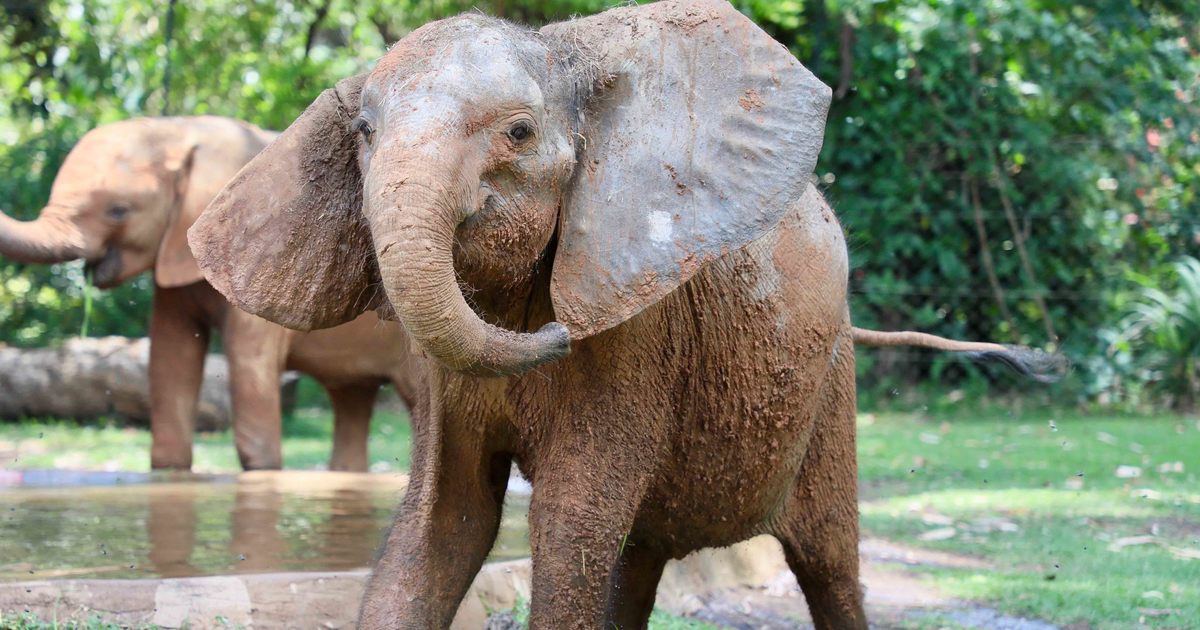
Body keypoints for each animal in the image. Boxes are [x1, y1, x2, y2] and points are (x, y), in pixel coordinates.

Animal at [0, 116, 424, 471]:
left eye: (118, 210)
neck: (181, 129)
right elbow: (171, 358)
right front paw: (169, 471)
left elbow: (249, 364)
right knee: (351, 399)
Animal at [189, 1, 1057, 627]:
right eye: (364, 133)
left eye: (518, 132)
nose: (555, 330)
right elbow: (443, 522)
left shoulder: (642, 335)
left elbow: (572, 521)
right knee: (640, 556)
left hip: (831, 392)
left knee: (828, 567)